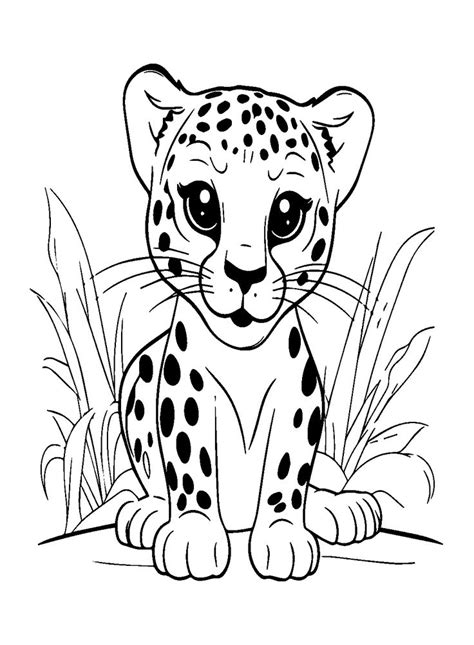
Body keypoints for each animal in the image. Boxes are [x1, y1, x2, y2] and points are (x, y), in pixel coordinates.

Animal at [116, 64, 381, 580]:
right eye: (202, 204)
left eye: (286, 212)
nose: (245, 274)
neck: (242, 360)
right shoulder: (182, 388)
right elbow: (189, 460)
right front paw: (194, 533)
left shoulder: (300, 396)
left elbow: (289, 465)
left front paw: (282, 534)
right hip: (140, 372)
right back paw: (148, 513)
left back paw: (342, 507)